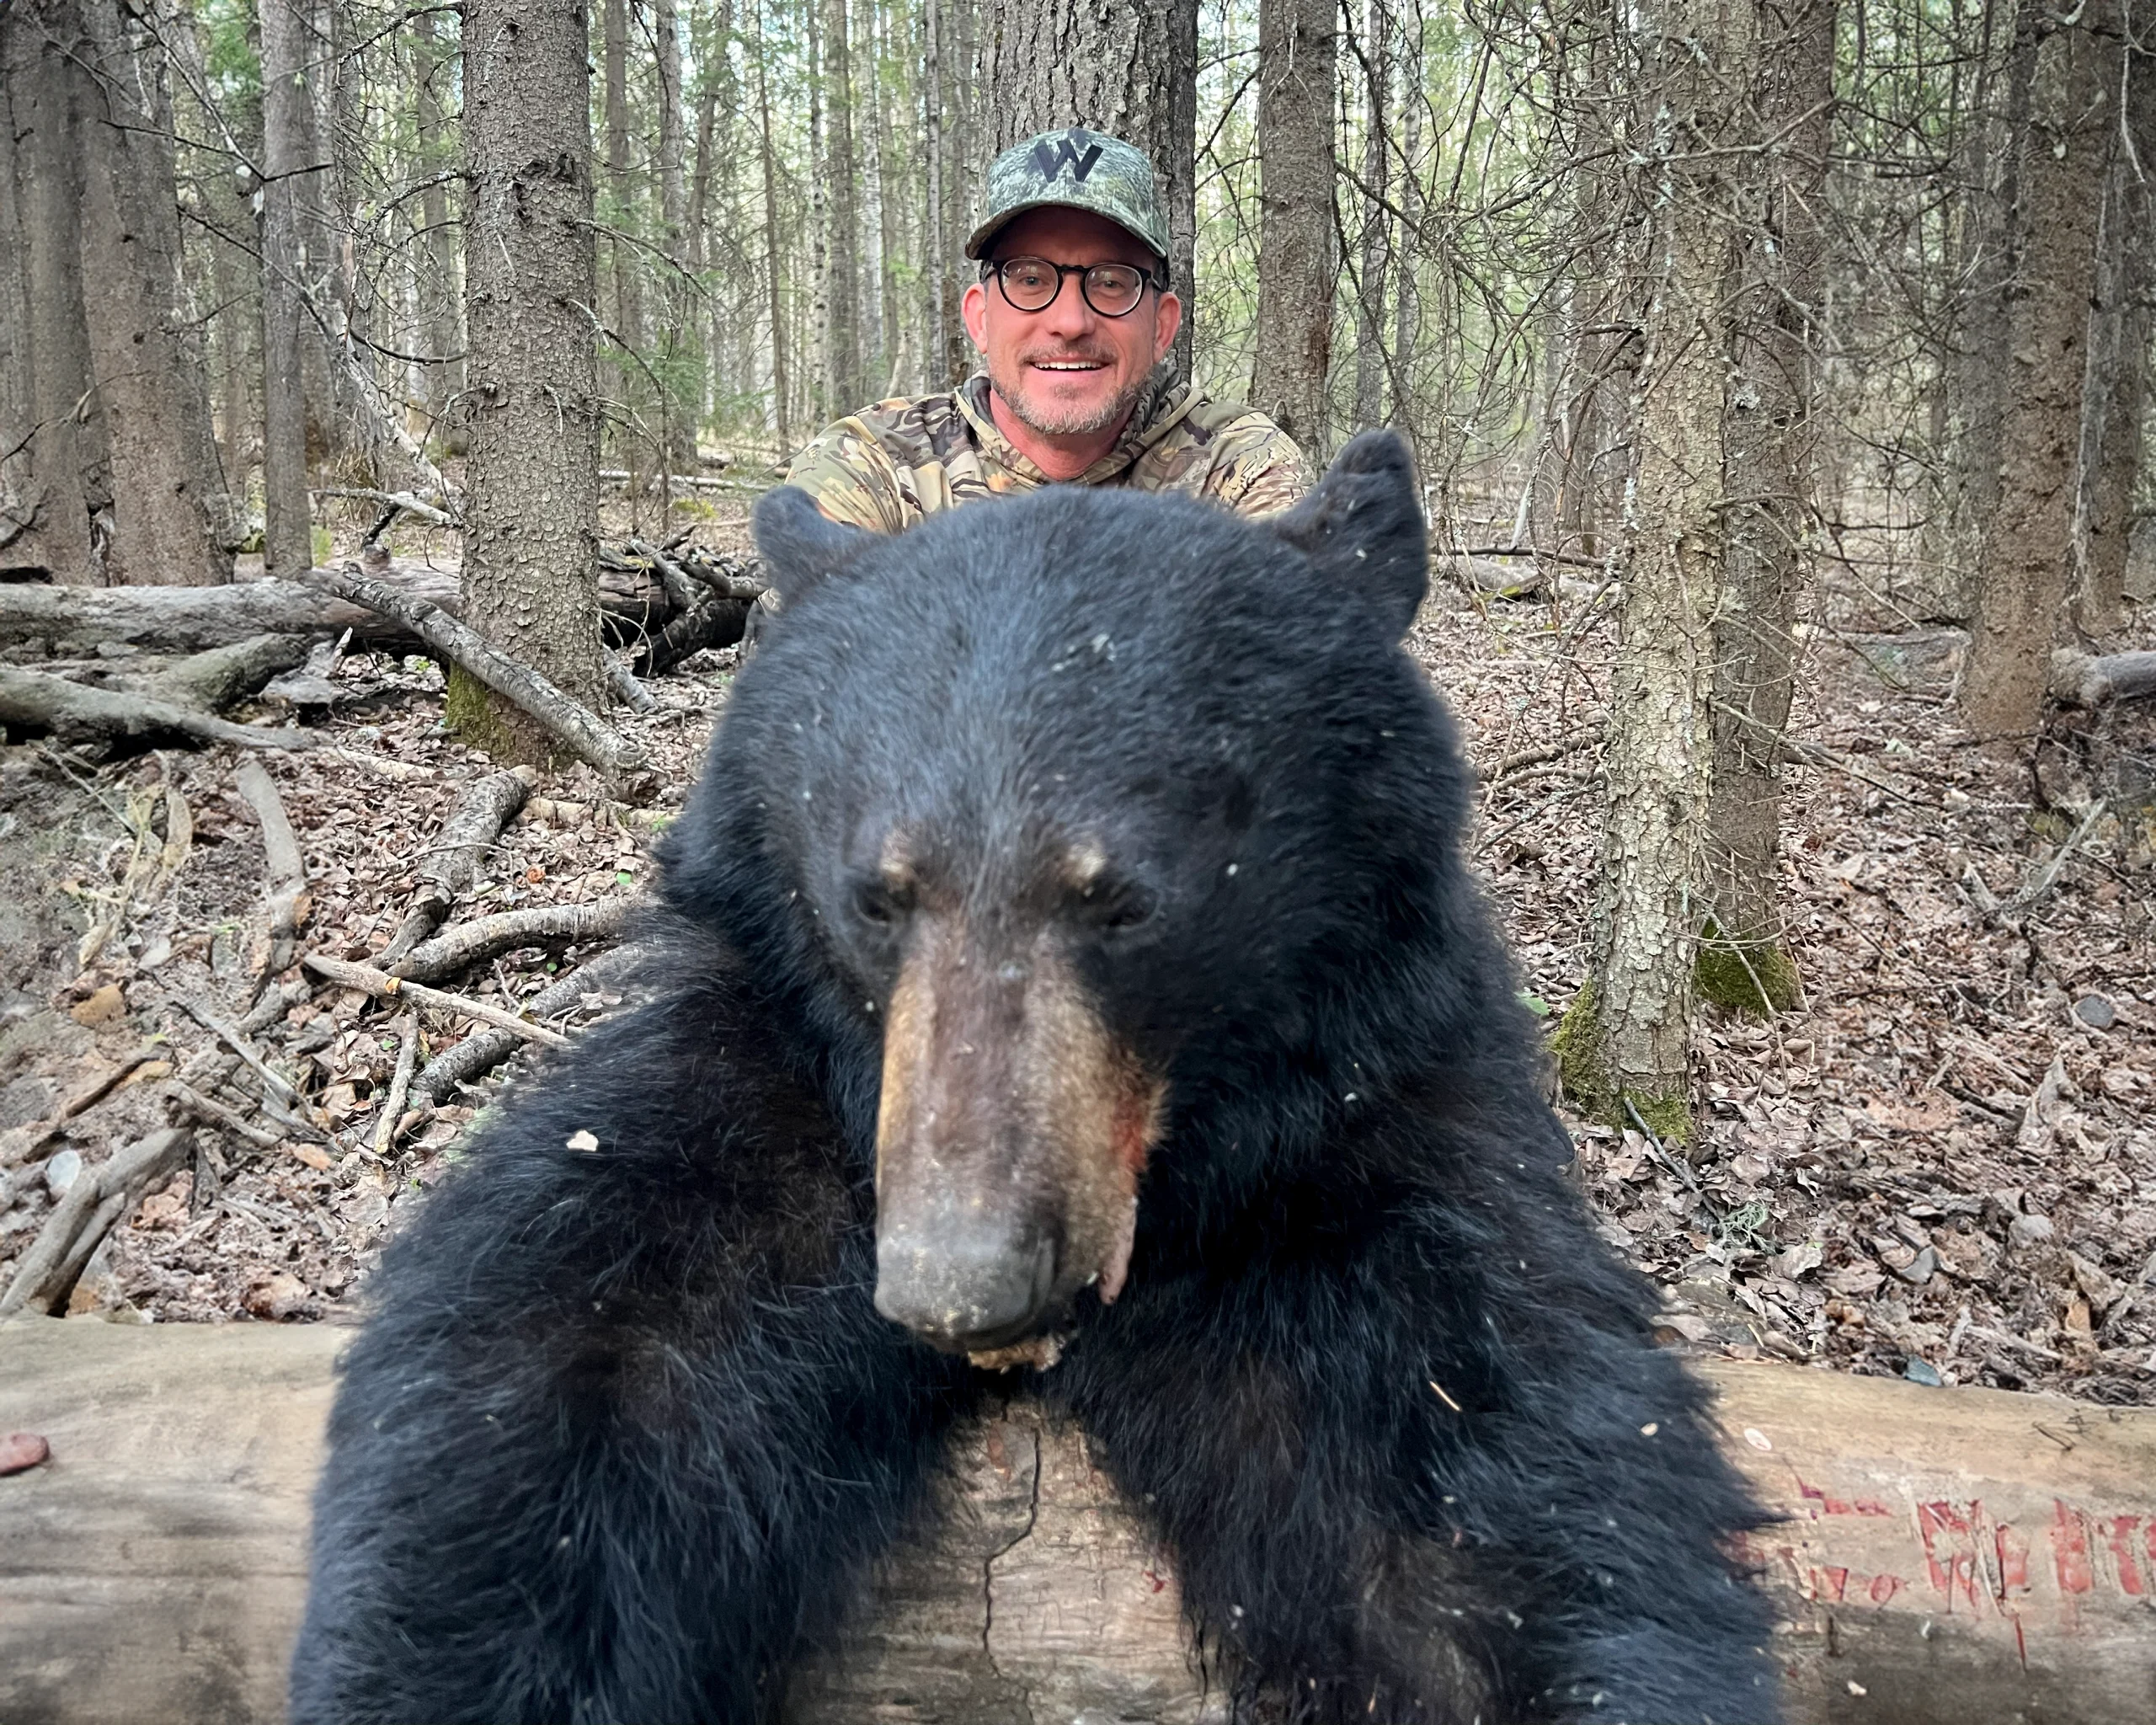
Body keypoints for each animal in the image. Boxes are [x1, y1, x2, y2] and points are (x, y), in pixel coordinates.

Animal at [290, 431, 1780, 1725]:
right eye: (877, 894)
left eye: (1121, 901)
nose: (962, 1283)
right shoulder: (780, 1088)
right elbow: (559, 1365)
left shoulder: (1356, 1136)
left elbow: (1493, 1482)